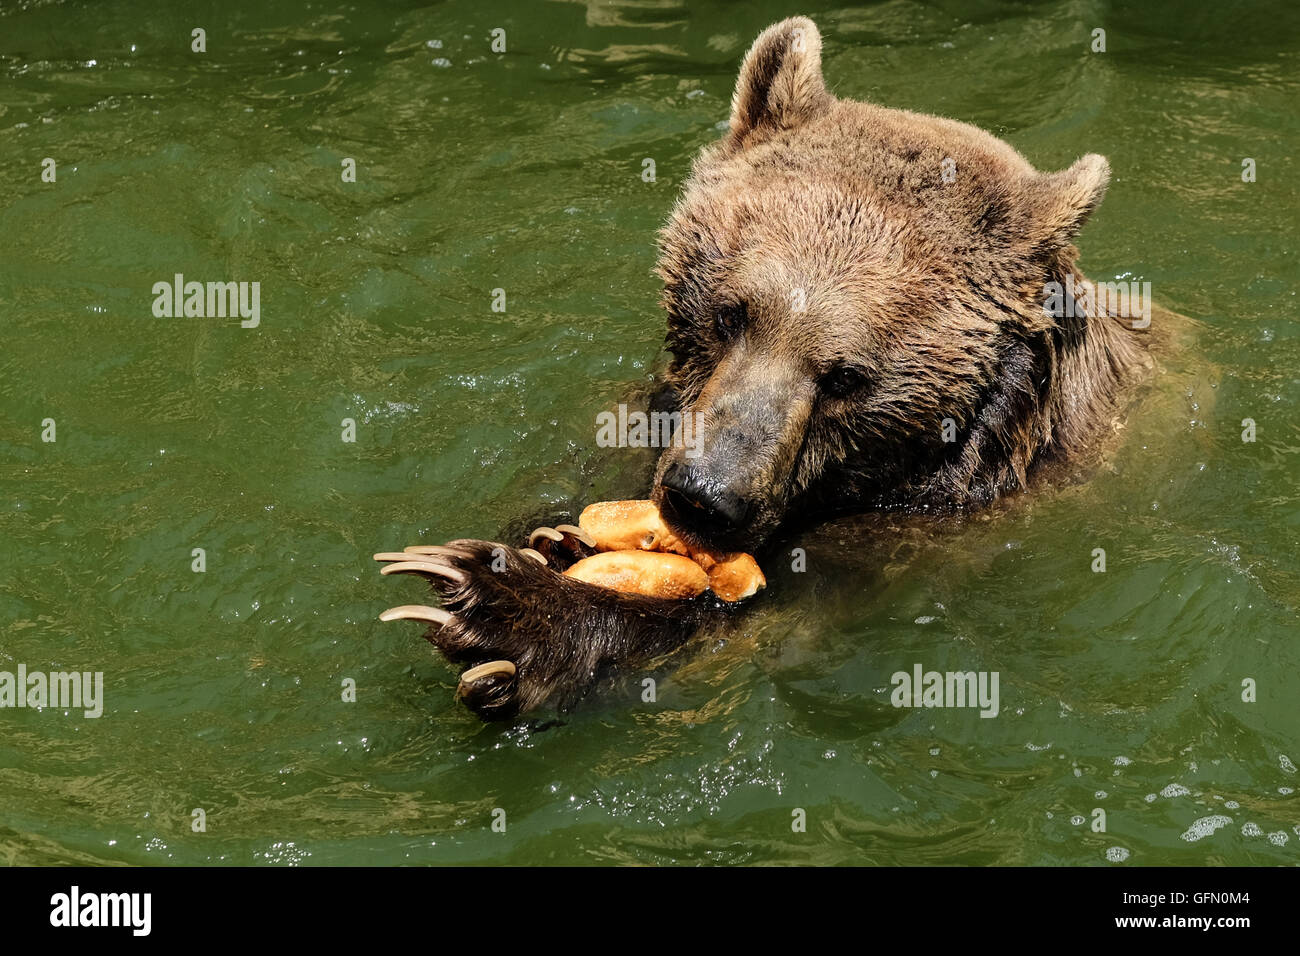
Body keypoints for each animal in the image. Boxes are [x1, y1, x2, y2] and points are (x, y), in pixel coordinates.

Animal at [379, 16, 1164, 720]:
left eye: (846, 377)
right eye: (732, 314)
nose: (706, 495)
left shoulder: (937, 523)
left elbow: (757, 614)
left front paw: (506, 607)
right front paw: (552, 542)